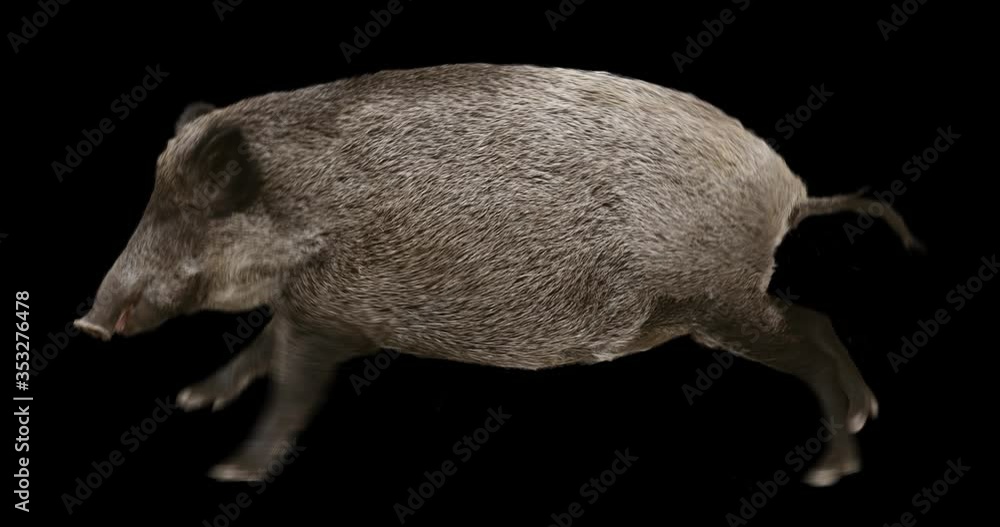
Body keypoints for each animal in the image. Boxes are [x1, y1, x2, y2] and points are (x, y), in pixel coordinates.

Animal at [73, 64, 921, 486]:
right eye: (155, 200)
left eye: (192, 210)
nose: (86, 319)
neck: (301, 214)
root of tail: (793, 192)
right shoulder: (306, 308)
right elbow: (257, 353)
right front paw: (194, 400)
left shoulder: (327, 316)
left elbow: (290, 391)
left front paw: (231, 472)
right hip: (722, 304)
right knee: (816, 321)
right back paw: (865, 418)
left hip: (721, 302)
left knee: (811, 332)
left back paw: (834, 465)